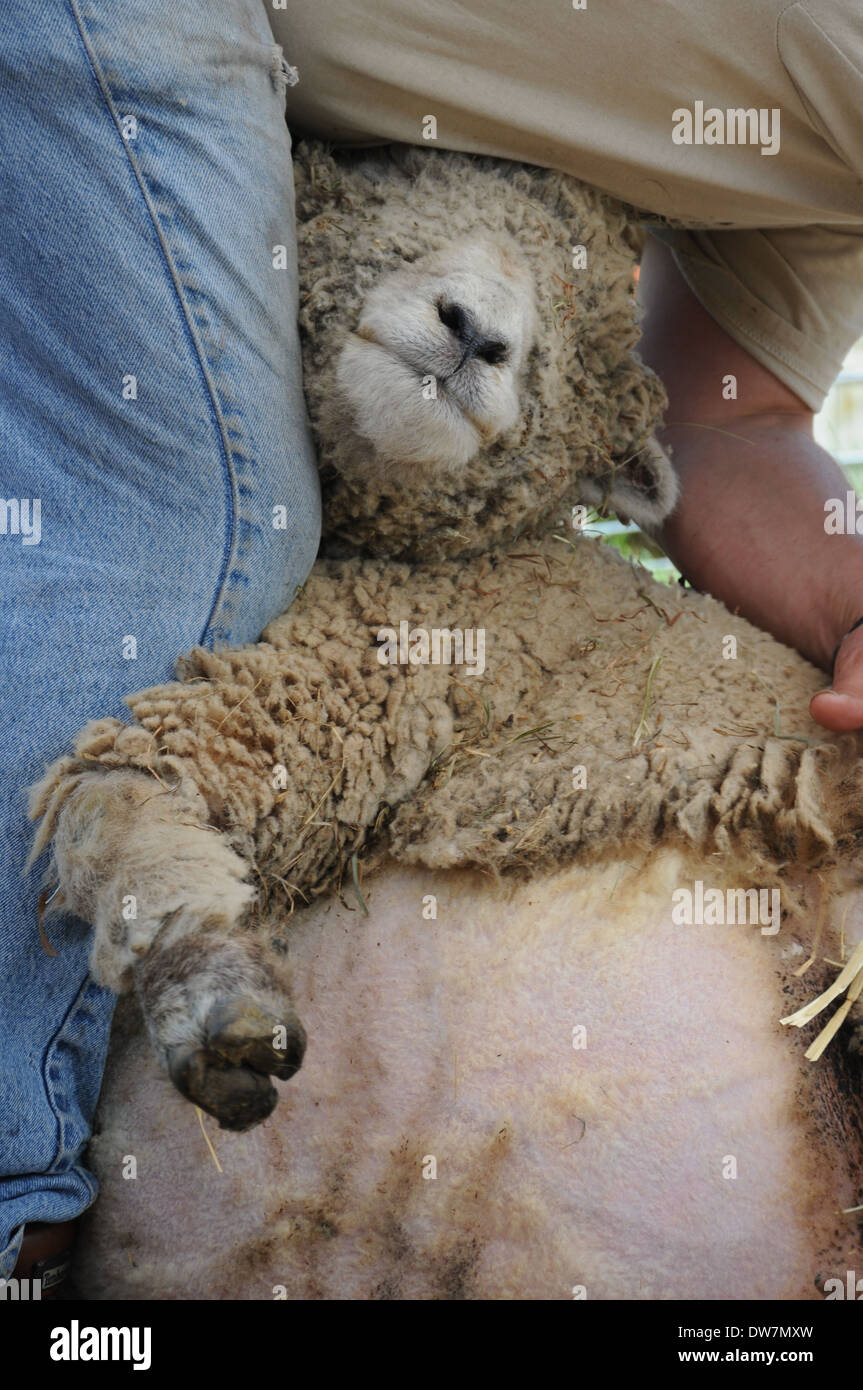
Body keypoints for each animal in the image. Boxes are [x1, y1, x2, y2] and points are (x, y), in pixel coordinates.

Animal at [28, 141, 863, 1141]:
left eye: (571, 322)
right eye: (394, 174)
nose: (475, 334)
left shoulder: (354, 680)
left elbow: (104, 794)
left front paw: (207, 983)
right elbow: (111, 801)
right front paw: (206, 973)